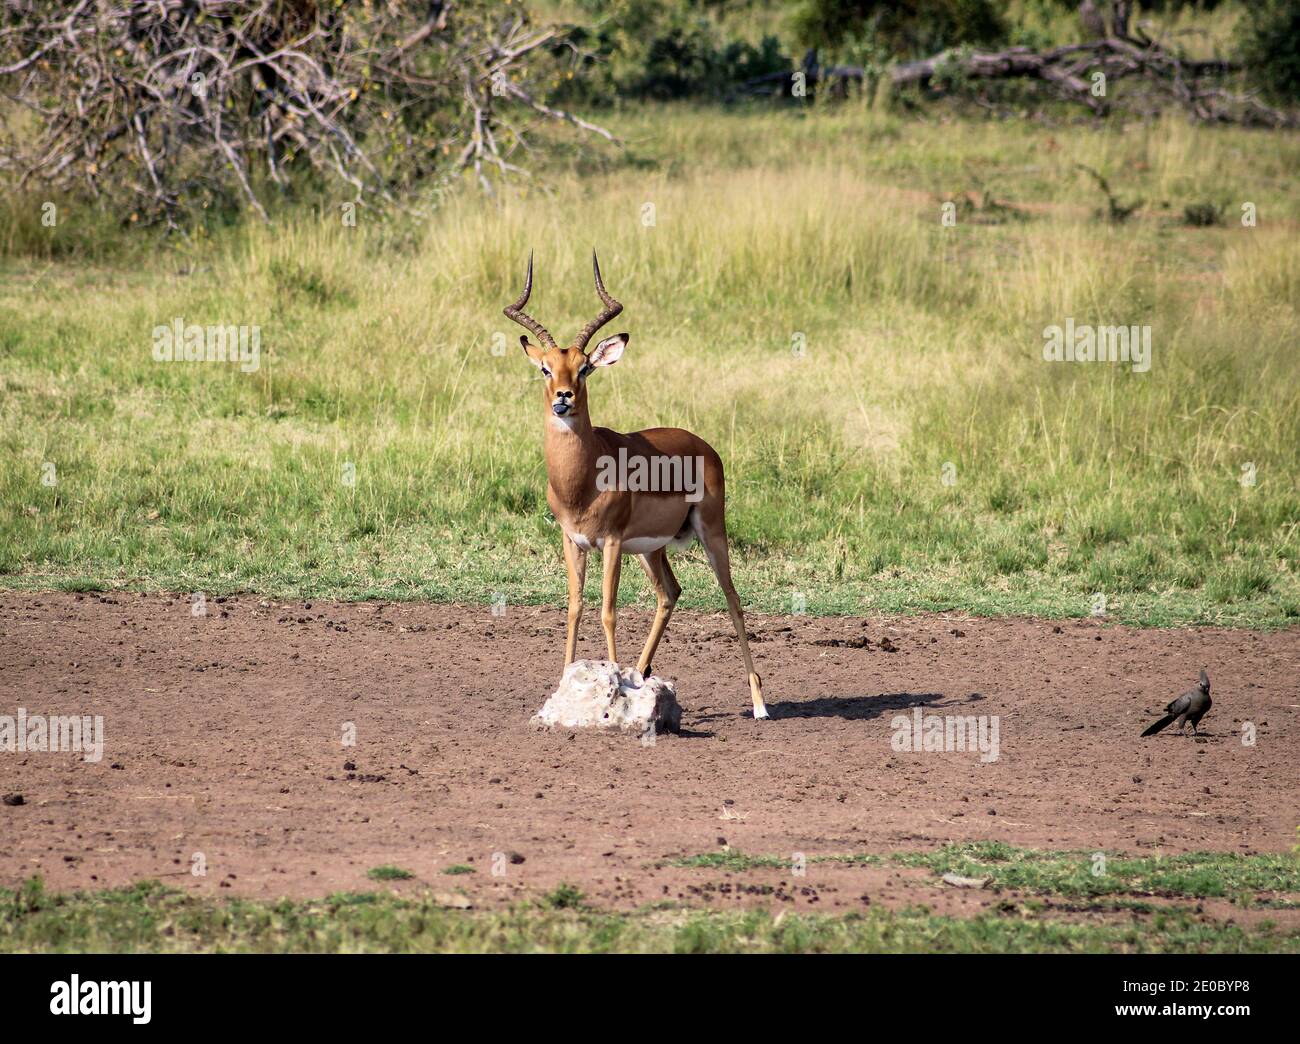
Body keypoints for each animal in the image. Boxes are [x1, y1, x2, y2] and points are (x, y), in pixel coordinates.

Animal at [505, 252, 770, 720]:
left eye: (585, 367)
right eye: (545, 368)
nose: (563, 397)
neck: (582, 480)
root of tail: (703, 445)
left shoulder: (610, 541)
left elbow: (608, 611)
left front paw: (612, 694)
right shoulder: (572, 540)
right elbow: (574, 607)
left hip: (710, 532)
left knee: (733, 599)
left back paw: (759, 705)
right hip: (652, 549)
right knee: (670, 593)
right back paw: (641, 676)